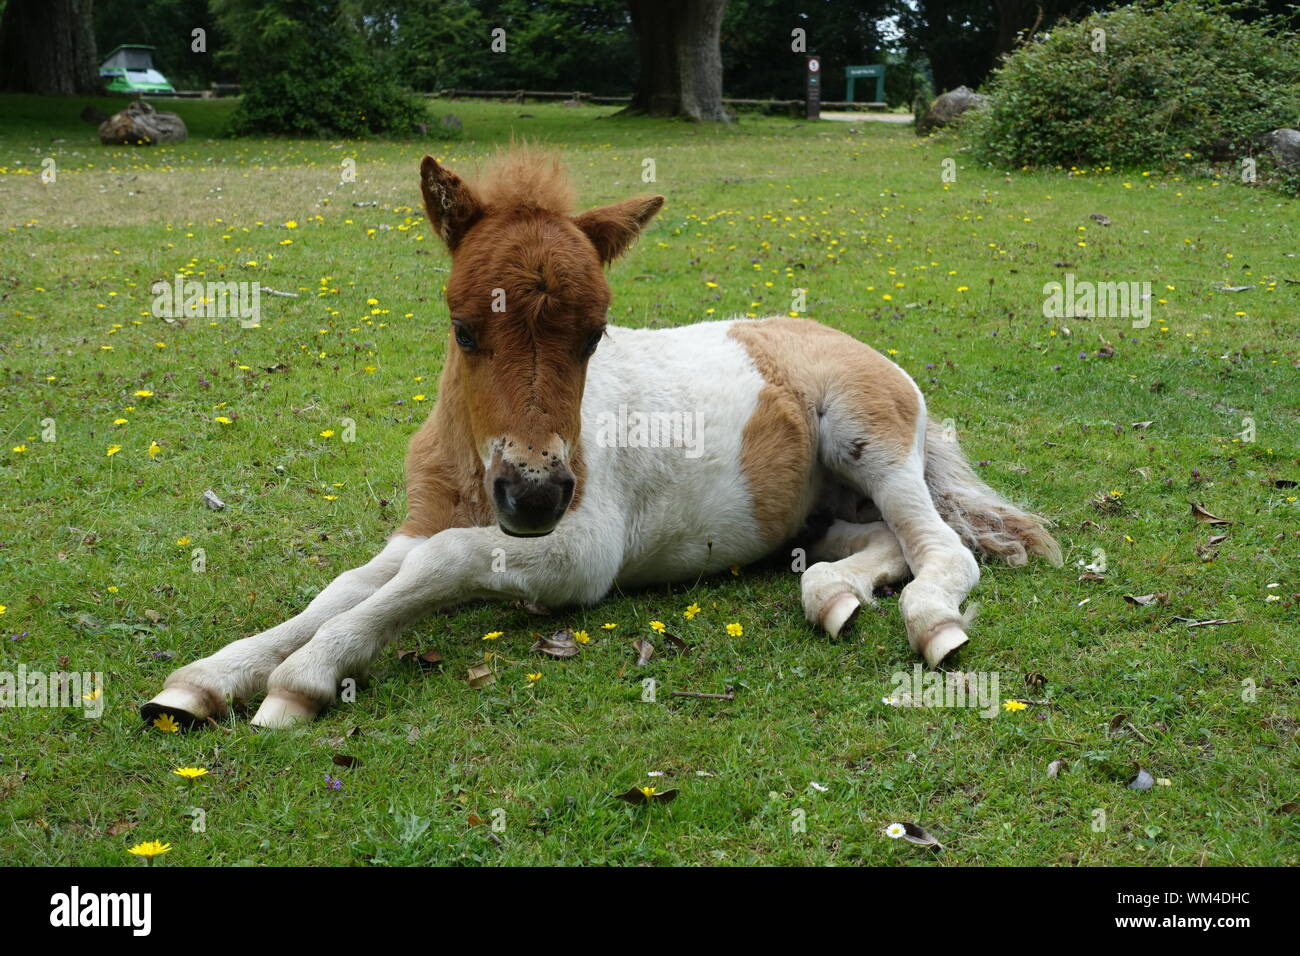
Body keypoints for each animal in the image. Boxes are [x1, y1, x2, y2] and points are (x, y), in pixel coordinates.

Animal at [140, 148, 1062, 729]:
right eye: (463, 328)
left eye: (594, 336)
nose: (535, 494)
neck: (475, 473)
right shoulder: (426, 522)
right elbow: (356, 580)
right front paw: (207, 679)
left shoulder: (580, 553)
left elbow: (433, 567)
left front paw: (304, 678)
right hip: (821, 511)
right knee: (878, 541)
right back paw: (832, 596)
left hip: (871, 440)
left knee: (942, 547)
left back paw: (931, 622)